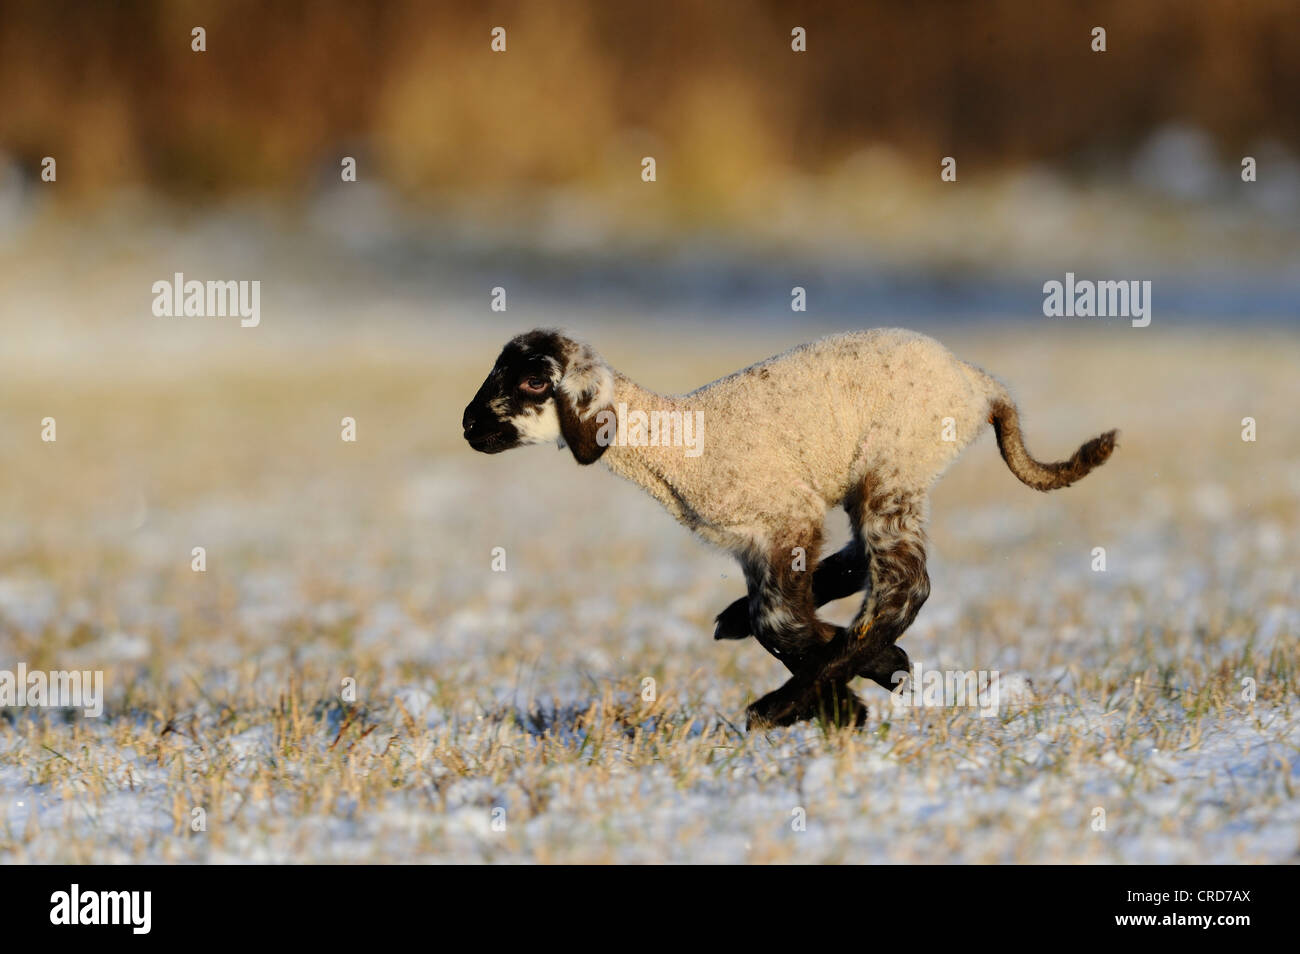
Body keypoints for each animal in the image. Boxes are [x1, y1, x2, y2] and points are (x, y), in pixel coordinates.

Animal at [462, 328, 1117, 729]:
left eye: (533, 382)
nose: (468, 426)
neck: (674, 446)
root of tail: (980, 383)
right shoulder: (754, 545)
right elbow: (775, 621)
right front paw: (864, 686)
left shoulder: (786, 516)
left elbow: (777, 621)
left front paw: (845, 701)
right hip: (871, 481)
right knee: (862, 565)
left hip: (893, 467)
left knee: (906, 585)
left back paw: (784, 703)